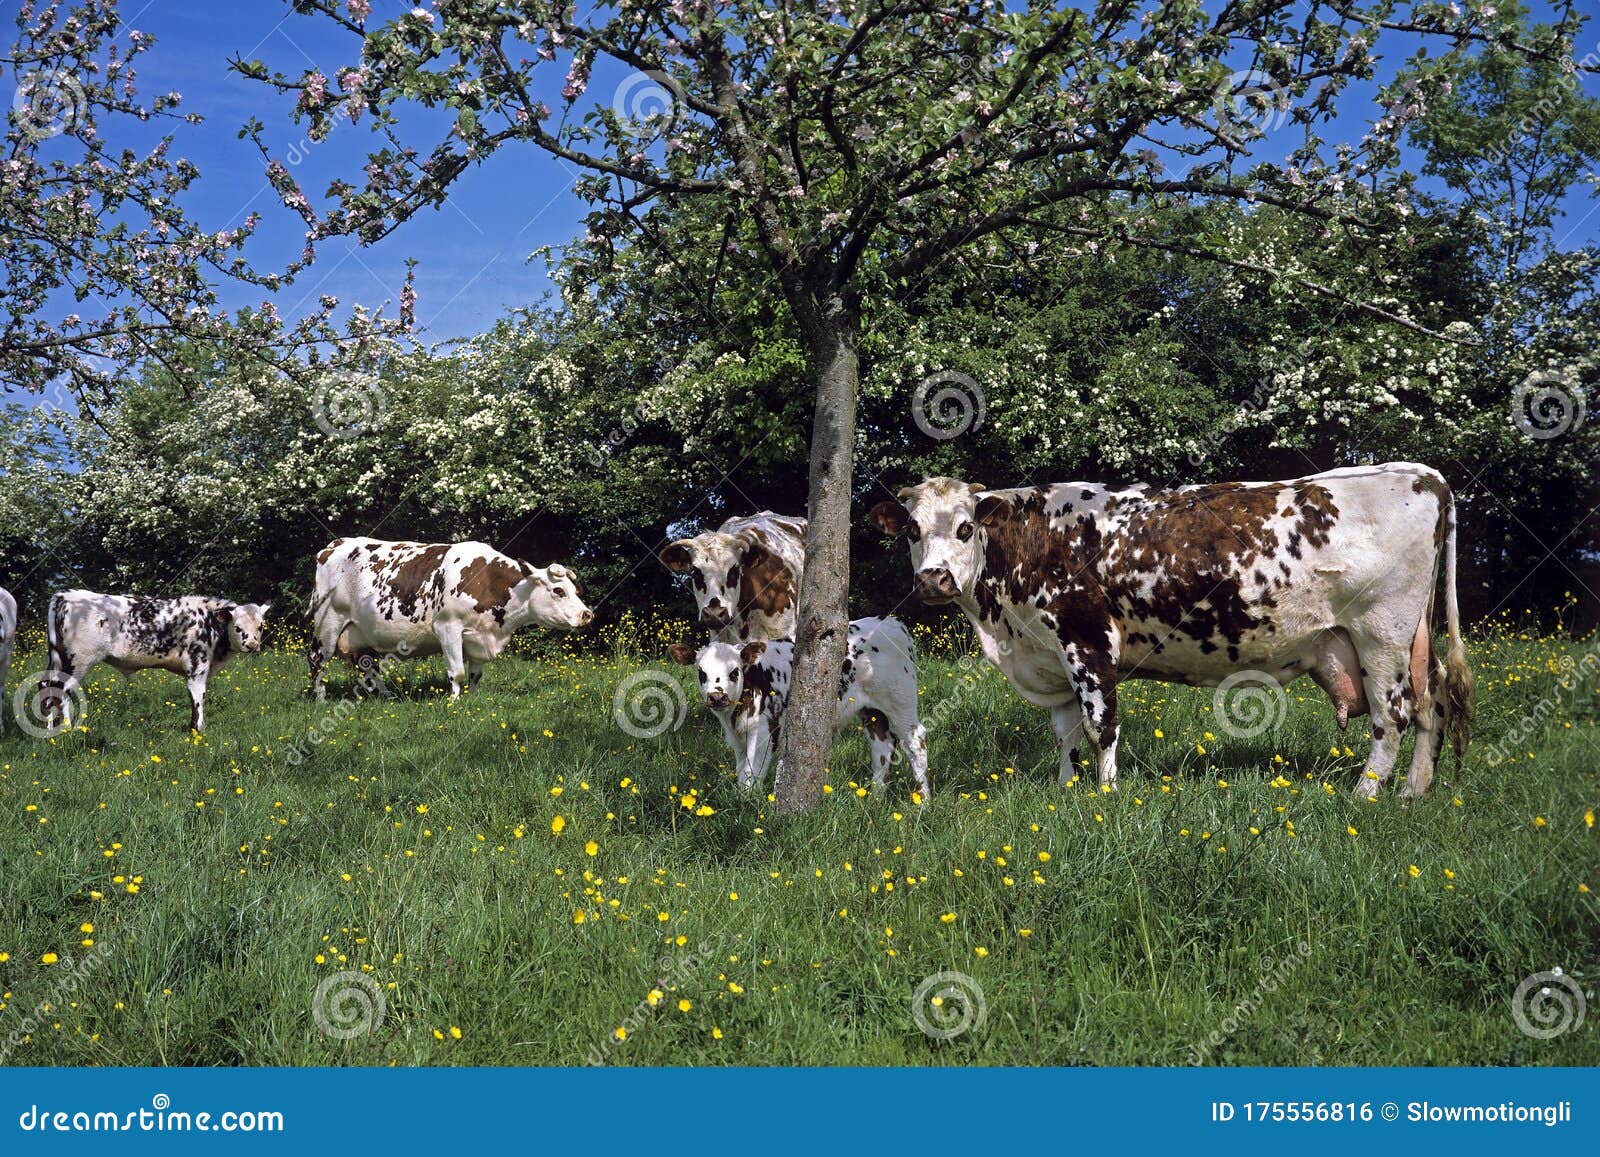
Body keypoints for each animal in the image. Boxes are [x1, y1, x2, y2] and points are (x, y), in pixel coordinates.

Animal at [42, 591, 271, 732]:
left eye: (260, 626)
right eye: (237, 627)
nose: (252, 645)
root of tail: (67, 595)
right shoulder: (197, 667)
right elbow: (198, 698)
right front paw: (199, 730)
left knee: (47, 688)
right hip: (77, 663)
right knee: (59, 692)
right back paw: (67, 729)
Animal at [308, 538, 593, 700]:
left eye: (576, 590)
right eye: (558, 590)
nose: (587, 614)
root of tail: (333, 545)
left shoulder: (480, 638)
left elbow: (475, 675)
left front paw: (473, 701)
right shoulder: (448, 627)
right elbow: (457, 673)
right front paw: (455, 704)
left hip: (361, 634)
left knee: (369, 667)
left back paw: (387, 696)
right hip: (328, 625)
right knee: (317, 661)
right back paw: (320, 699)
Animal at [668, 616, 931, 798]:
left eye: (734, 671)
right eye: (701, 673)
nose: (717, 697)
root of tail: (891, 622)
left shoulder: (763, 732)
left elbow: (751, 774)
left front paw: (747, 804)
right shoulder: (737, 737)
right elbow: (741, 771)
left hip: (901, 703)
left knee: (915, 742)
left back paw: (923, 802)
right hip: (873, 712)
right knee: (882, 749)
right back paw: (875, 798)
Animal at [870, 464, 1473, 800]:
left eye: (965, 527)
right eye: (913, 531)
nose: (933, 579)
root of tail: (1420, 474)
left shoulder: (1087, 643)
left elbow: (1100, 729)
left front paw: (1105, 798)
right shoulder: (1049, 656)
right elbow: (1065, 734)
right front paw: (1066, 792)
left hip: (1381, 634)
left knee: (1393, 718)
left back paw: (1364, 795)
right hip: (1413, 641)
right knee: (1432, 704)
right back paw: (1411, 794)